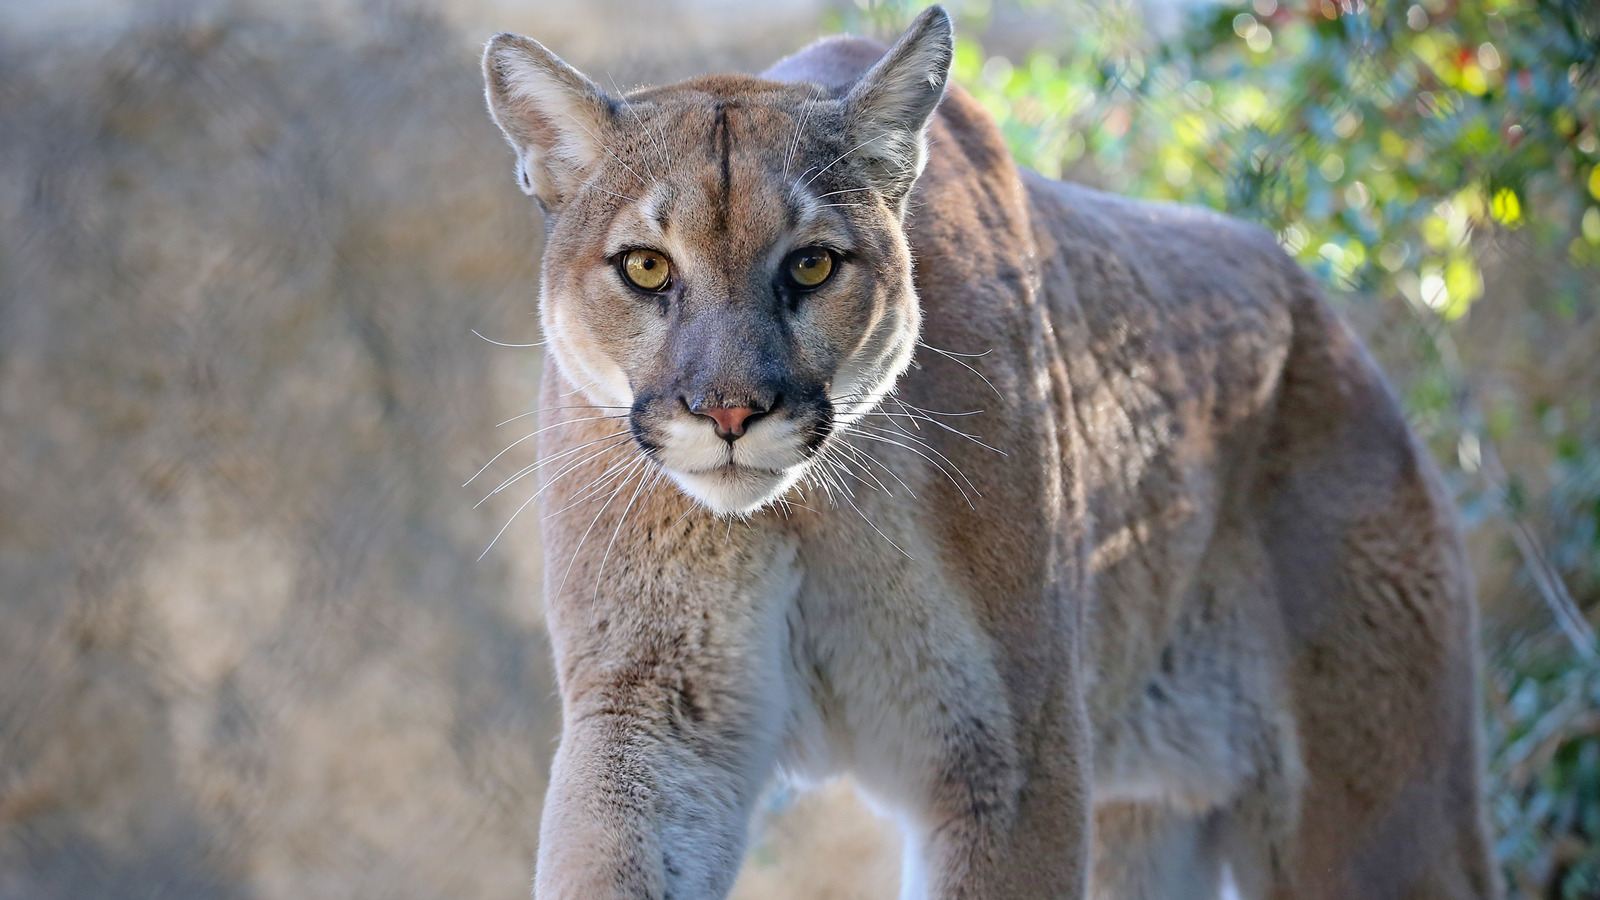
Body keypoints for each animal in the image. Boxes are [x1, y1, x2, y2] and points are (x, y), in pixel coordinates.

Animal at [479, 7, 1497, 898]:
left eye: (811, 264)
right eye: (646, 266)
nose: (730, 412)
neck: (808, 507)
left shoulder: (1010, 752)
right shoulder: (654, 712)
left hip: (1380, 815)